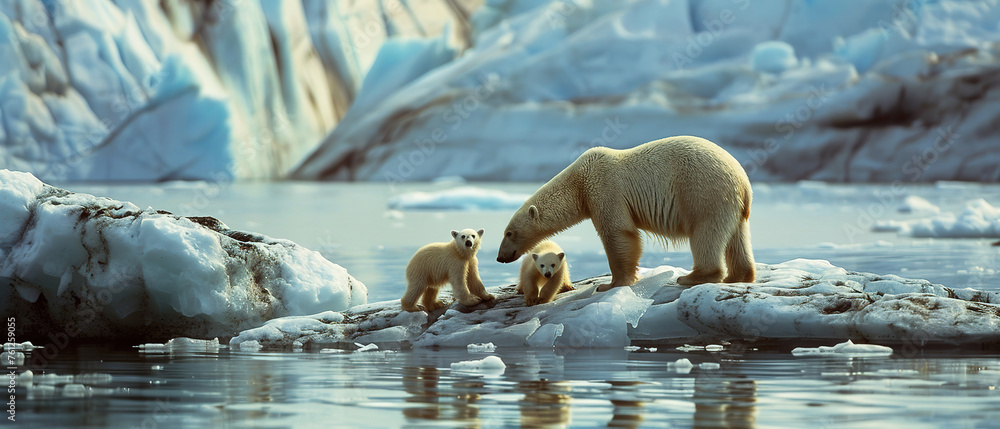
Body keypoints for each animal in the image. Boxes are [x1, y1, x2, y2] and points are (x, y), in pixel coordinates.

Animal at [497, 135, 755, 290]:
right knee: (737, 238)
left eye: (509, 233)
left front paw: (610, 284)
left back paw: (693, 276)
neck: (578, 182)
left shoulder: (605, 189)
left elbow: (618, 233)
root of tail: (744, 183)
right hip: (731, 206)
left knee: (705, 233)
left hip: (703, 192)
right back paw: (739, 276)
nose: (500, 257)